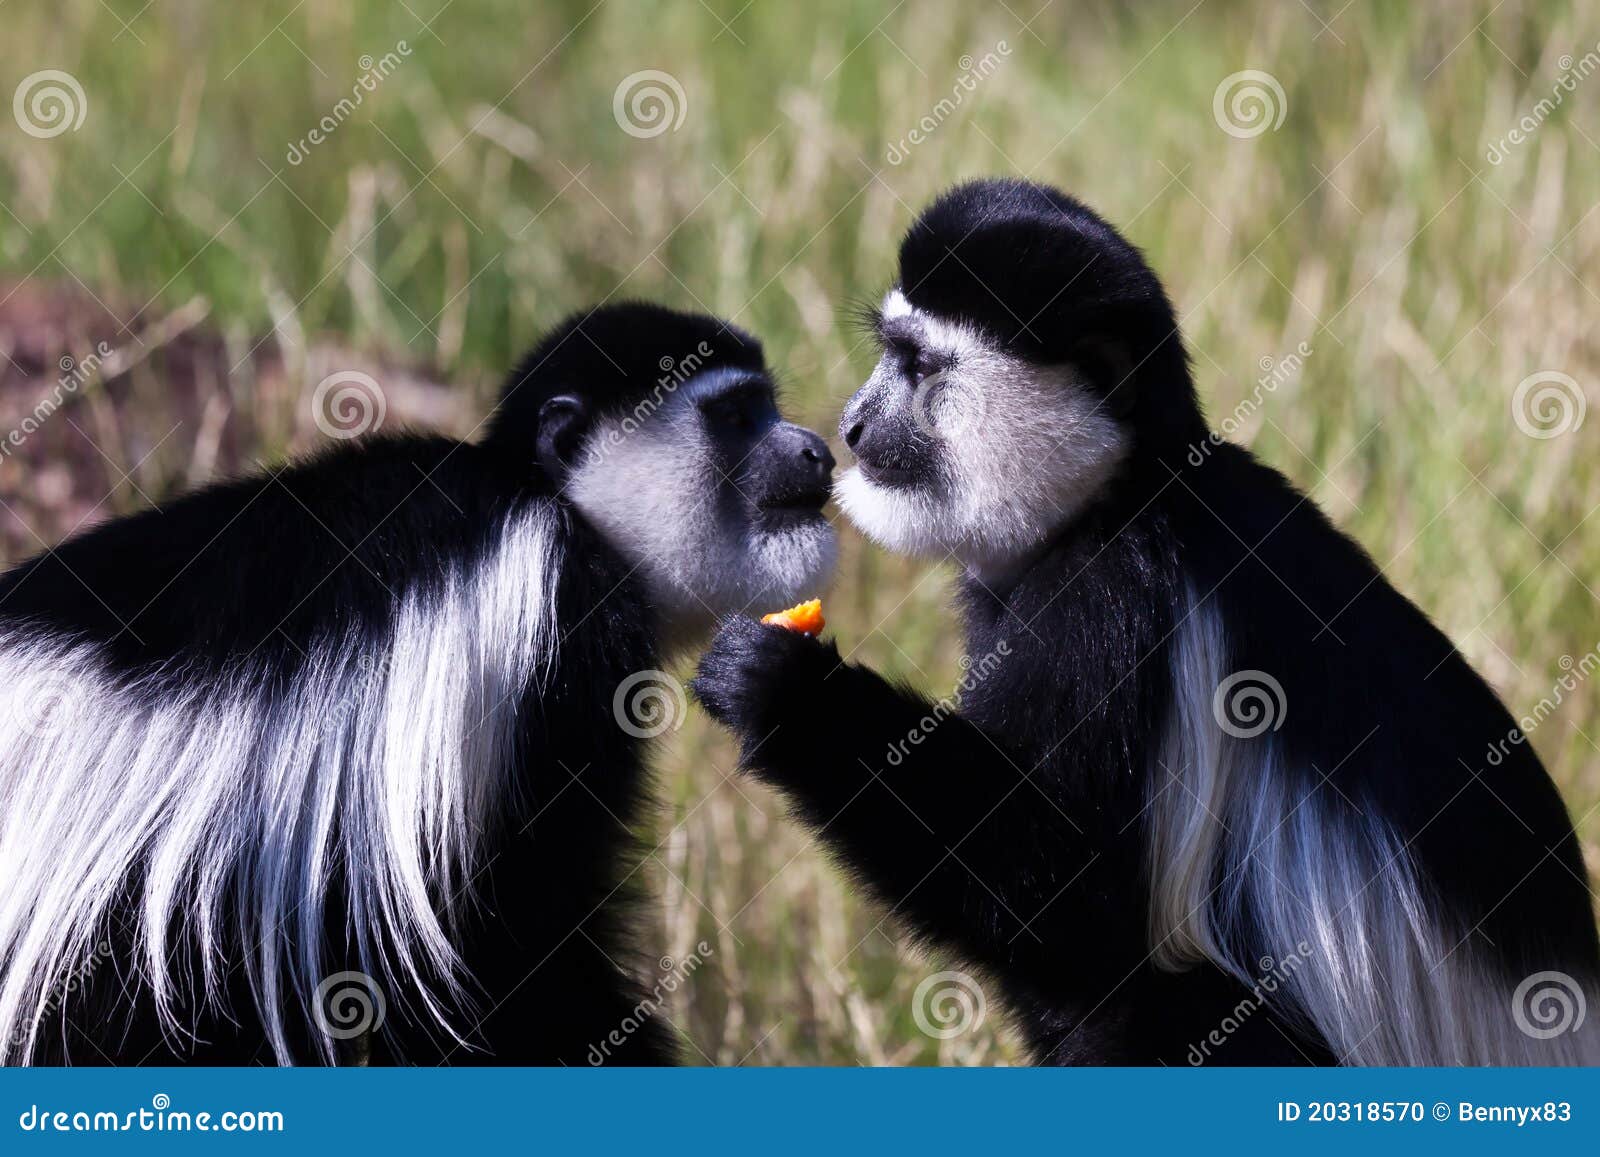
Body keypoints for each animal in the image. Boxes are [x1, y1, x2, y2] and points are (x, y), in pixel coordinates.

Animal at [0, 302, 837, 1065]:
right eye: (736, 417)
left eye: (769, 404)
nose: (817, 451)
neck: (553, 503)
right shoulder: (546, 645)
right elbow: (517, 961)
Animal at [692, 178, 1600, 1065]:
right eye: (890, 352)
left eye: (918, 365)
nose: (850, 425)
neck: (1126, 487)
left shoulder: (1109, 600)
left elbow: (1064, 894)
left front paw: (784, 687)